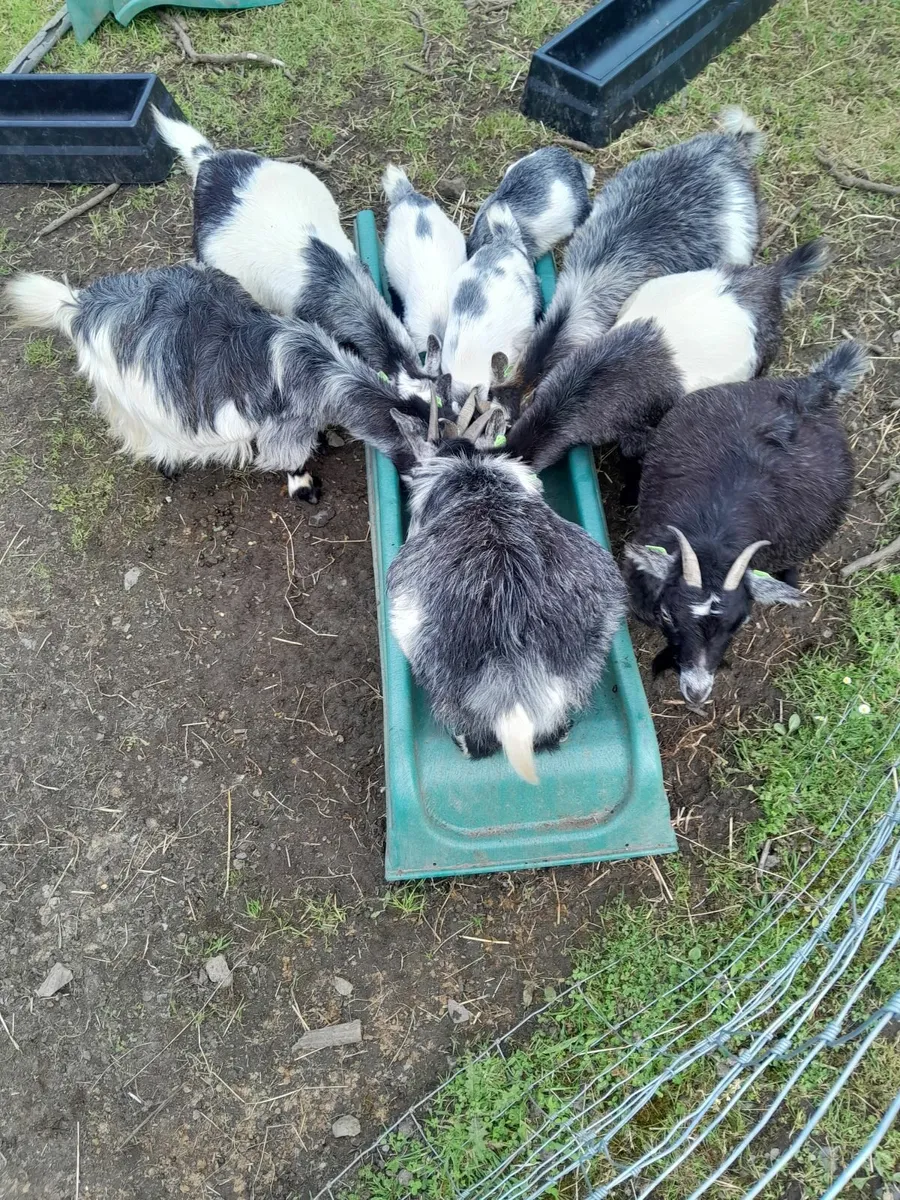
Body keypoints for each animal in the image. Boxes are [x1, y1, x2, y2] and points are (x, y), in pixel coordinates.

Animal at [5, 265, 431, 503]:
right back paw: (165, 461)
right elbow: (291, 457)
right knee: (130, 424)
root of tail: (80, 305)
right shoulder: (284, 426)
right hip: (120, 389)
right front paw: (305, 488)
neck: (317, 369)